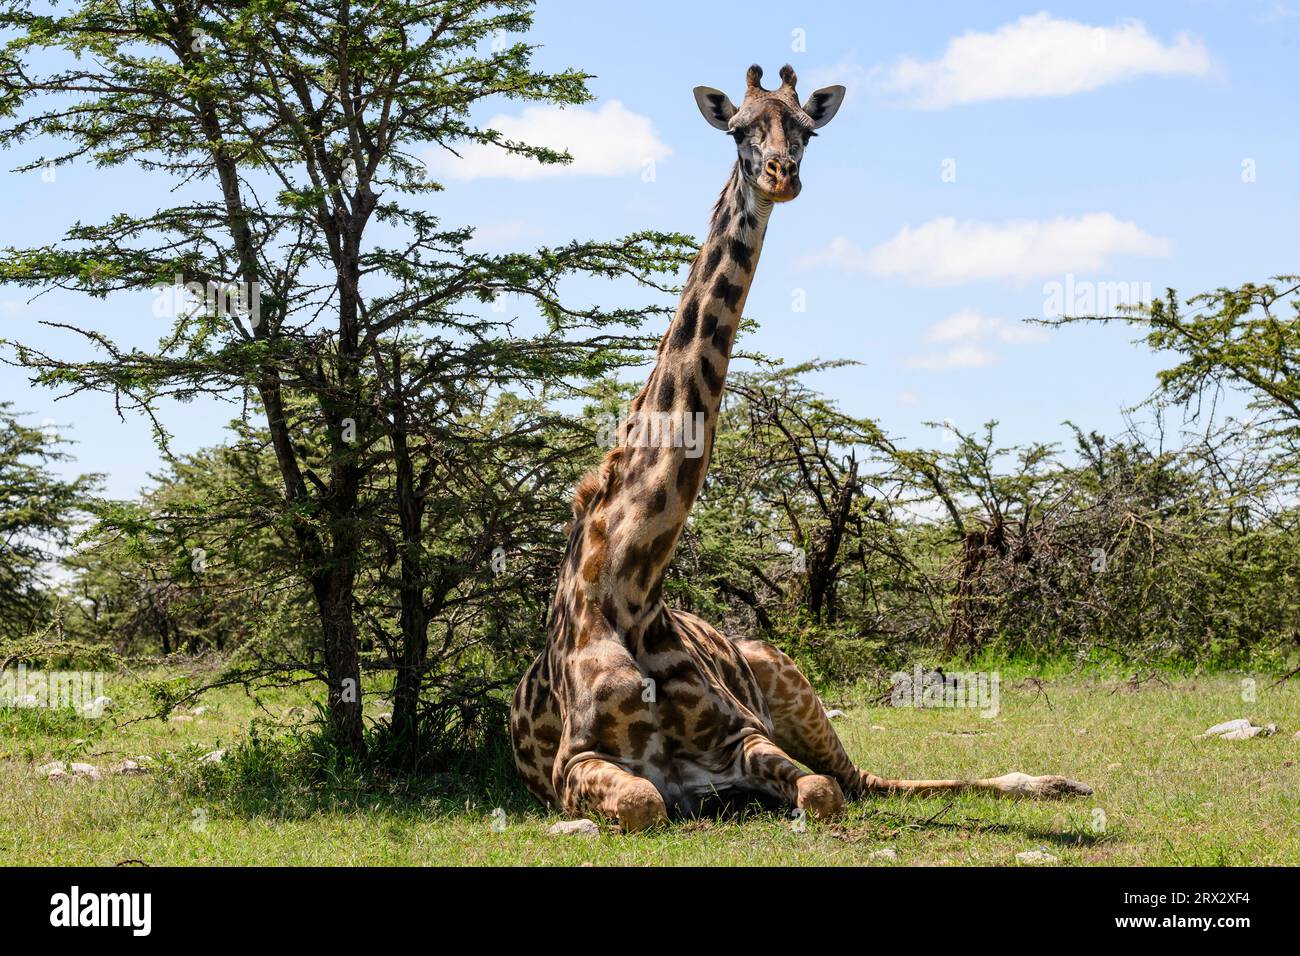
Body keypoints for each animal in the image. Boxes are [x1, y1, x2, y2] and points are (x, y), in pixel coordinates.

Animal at [510, 65, 1092, 832]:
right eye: (737, 130)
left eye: (807, 130)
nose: (781, 175)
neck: (629, 585)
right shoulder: (573, 761)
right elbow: (645, 801)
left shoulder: (743, 733)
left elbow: (820, 792)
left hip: (788, 677)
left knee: (863, 779)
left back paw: (1059, 783)